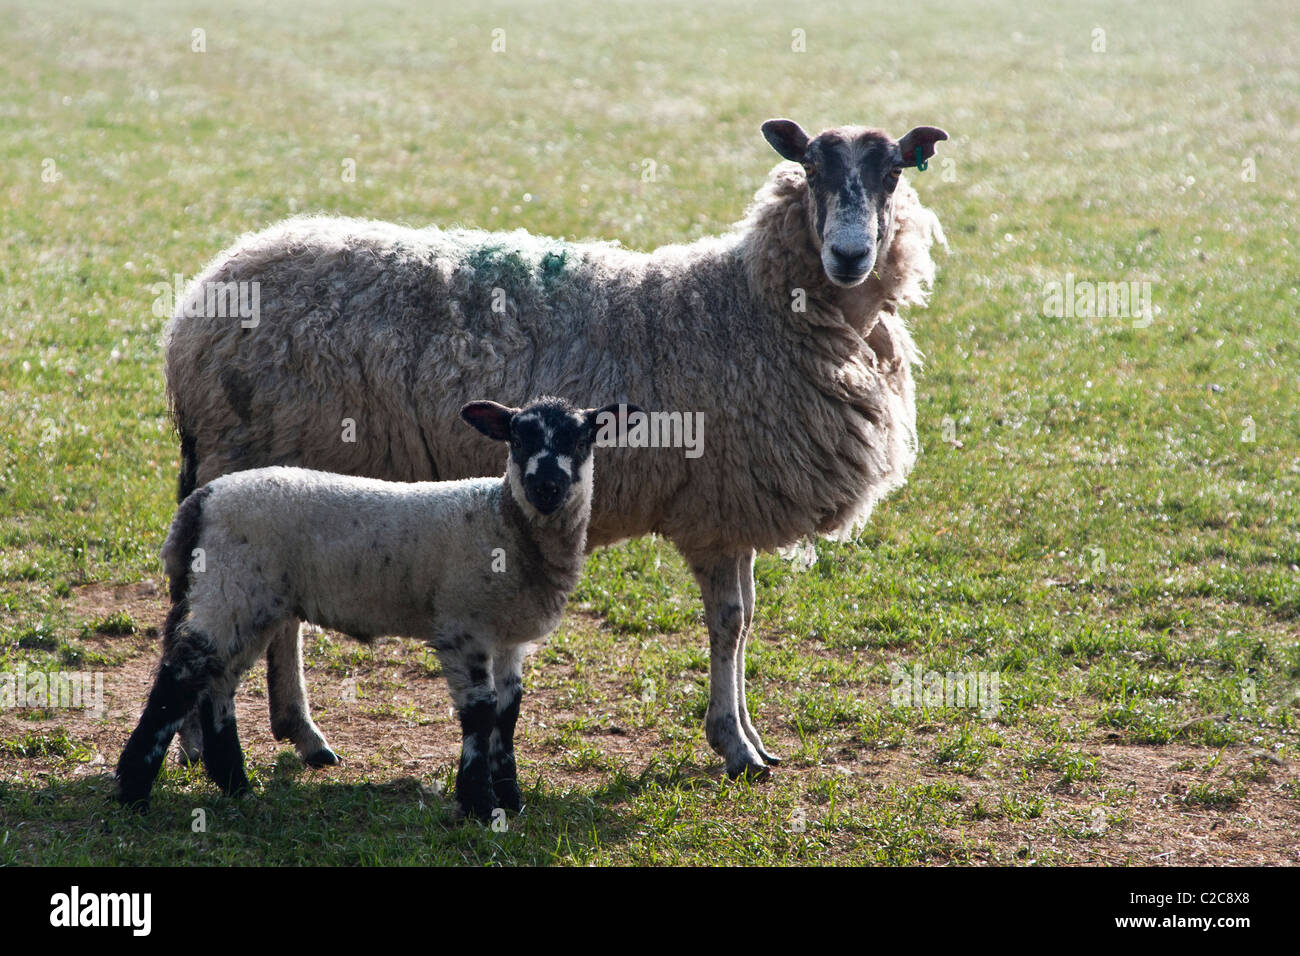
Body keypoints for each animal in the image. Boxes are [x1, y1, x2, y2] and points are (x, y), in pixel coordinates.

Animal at [115, 395, 630, 821]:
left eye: (581, 439)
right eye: (518, 439)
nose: (547, 486)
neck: (504, 519)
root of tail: (203, 500)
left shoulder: (508, 638)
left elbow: (508, 714)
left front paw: (510, 798)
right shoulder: (463, 627)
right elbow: (480, 715)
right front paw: (479, 805)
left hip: (251, 601)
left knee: (219, 682)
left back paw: (235, 786)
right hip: (231, 588)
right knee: (182, 675)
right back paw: (133, 790)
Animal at [163, 119, 949, 780]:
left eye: (892, 175)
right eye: (812, 167)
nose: (850, 254)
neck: (750, 304)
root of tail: (194, 311)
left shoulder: (732, 509)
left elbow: (746, 621)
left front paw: (750, 737)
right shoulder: (717, 511)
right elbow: (729, 624)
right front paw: (734, 744)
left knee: (275, 617)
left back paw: (300, 734)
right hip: (242, 468)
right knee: (205, 618)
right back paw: (206, 739)